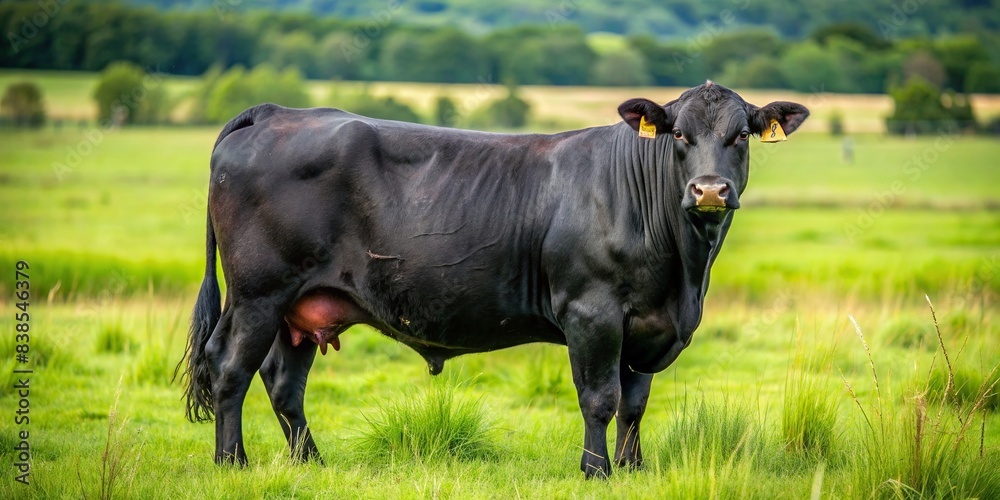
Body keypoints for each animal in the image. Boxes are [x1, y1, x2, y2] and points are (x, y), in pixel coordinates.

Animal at [177, 81, 808, 478]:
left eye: (741, 136)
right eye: (678, 135)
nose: (709, 190)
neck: (682, 275)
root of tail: (276, 111)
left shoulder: (647, 327)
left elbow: (634, 404)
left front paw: (634, 470)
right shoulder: (593, 313)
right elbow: (600, 399)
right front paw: (597, 471)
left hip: (304, 306)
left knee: (284, 382)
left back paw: (310, 463)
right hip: (258, 295)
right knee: (229, 367)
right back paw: (232, 463)